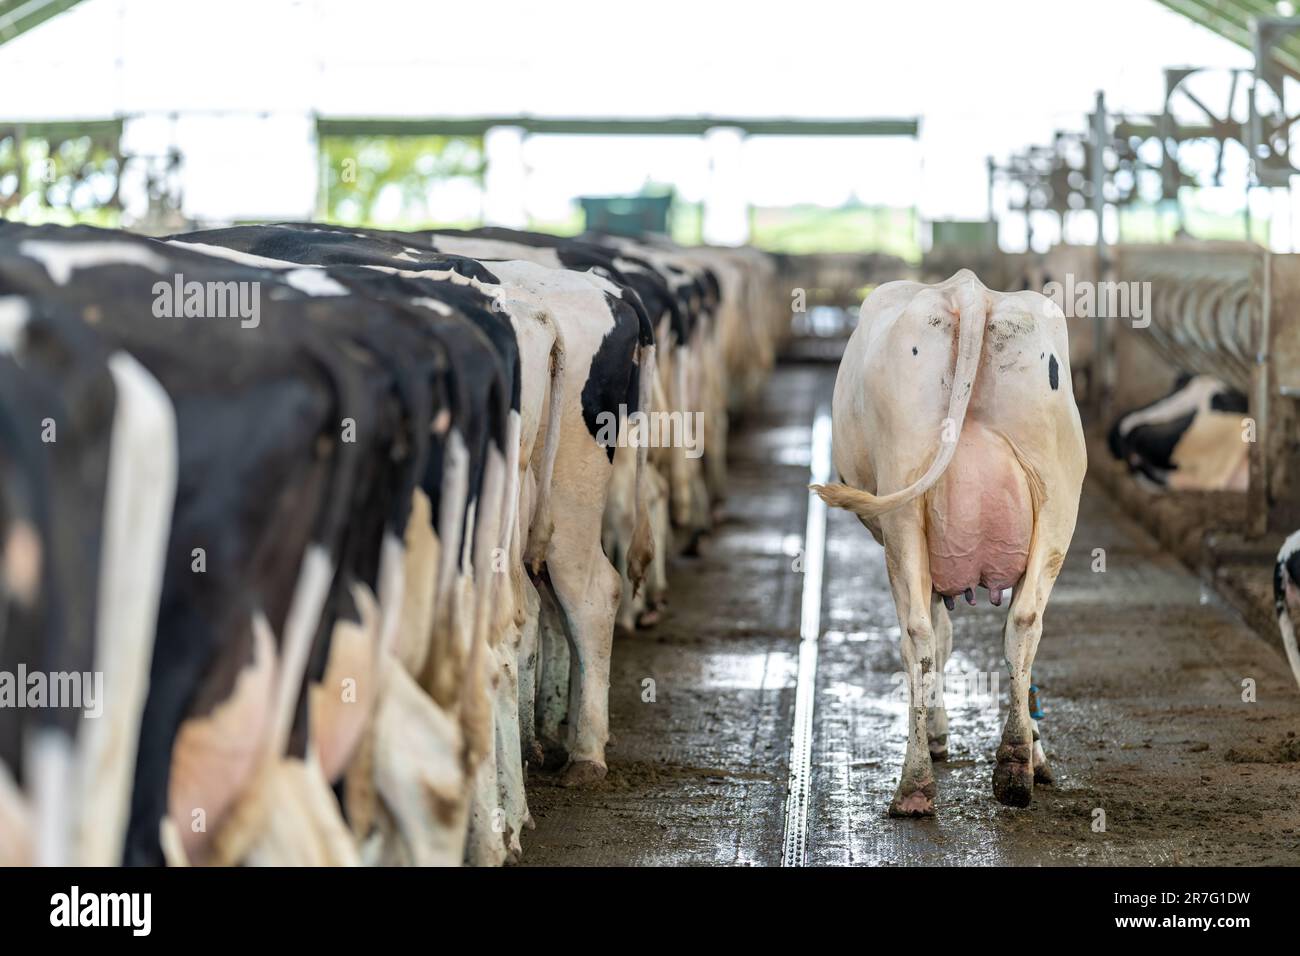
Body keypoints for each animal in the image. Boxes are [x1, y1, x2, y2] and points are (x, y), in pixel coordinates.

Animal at [812, 270, 1086, 814]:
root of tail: (970, 292)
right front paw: (1036, 752)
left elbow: (939, 635)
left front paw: (938, 733)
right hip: (1056, 498)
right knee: (1025, 623)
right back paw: (1015, 767)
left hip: (903, 510)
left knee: (918, 635)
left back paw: (914, 784)